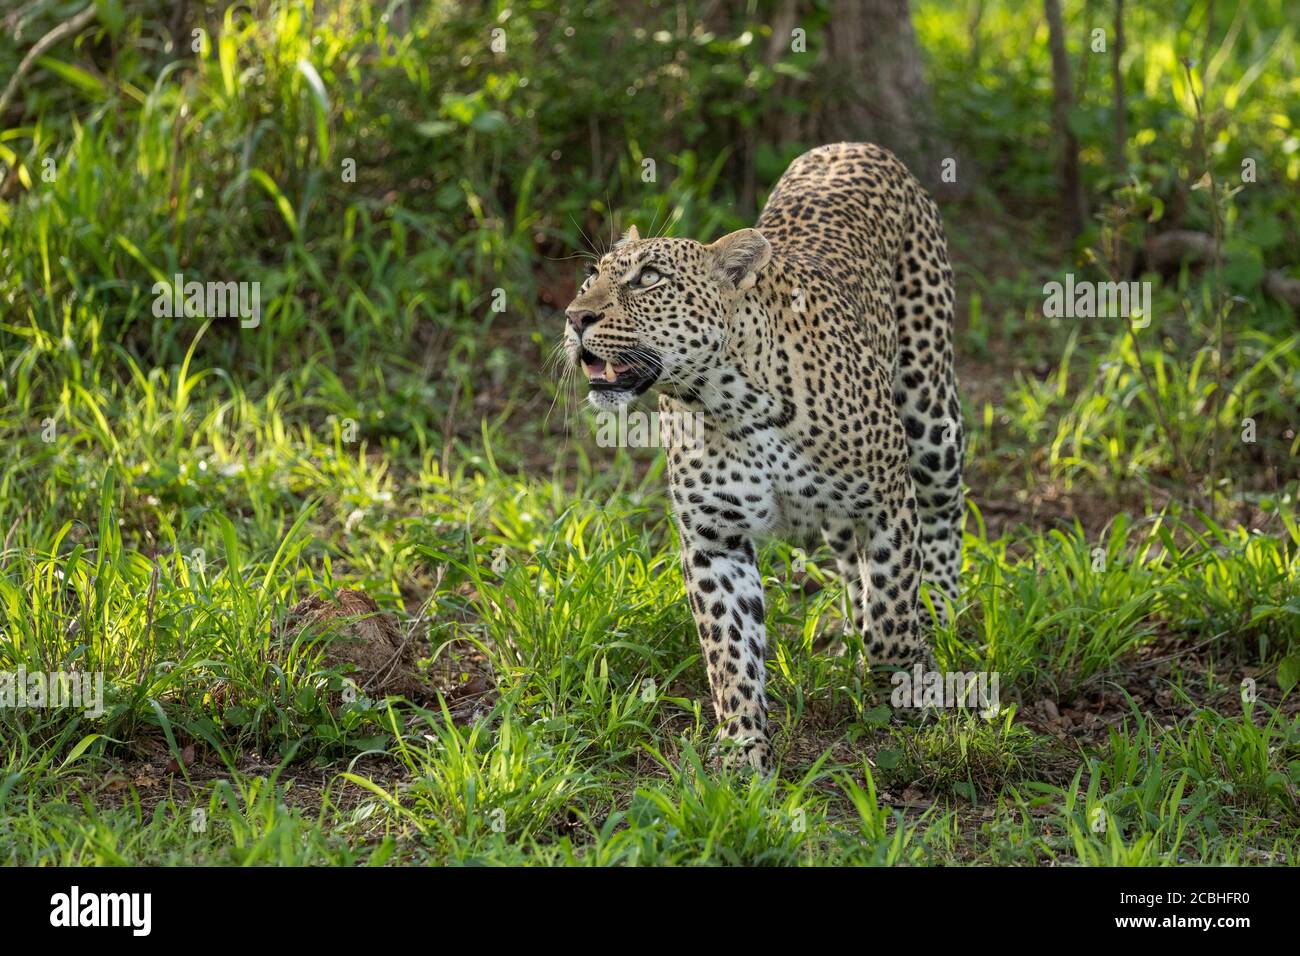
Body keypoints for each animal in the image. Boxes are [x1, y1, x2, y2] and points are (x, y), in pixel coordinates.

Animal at [561, 142, 964, 774]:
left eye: (648, 279)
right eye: (590, 276)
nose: (576, 318)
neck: (729, 400)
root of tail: (851, 144)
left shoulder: (888, 502)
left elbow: (893, 616)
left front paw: (907, 688)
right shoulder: (715, 540)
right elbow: (730, 652)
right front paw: (741, 750)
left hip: (930, 412)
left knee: (946, 514)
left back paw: (940, 617)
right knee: (850, 564)